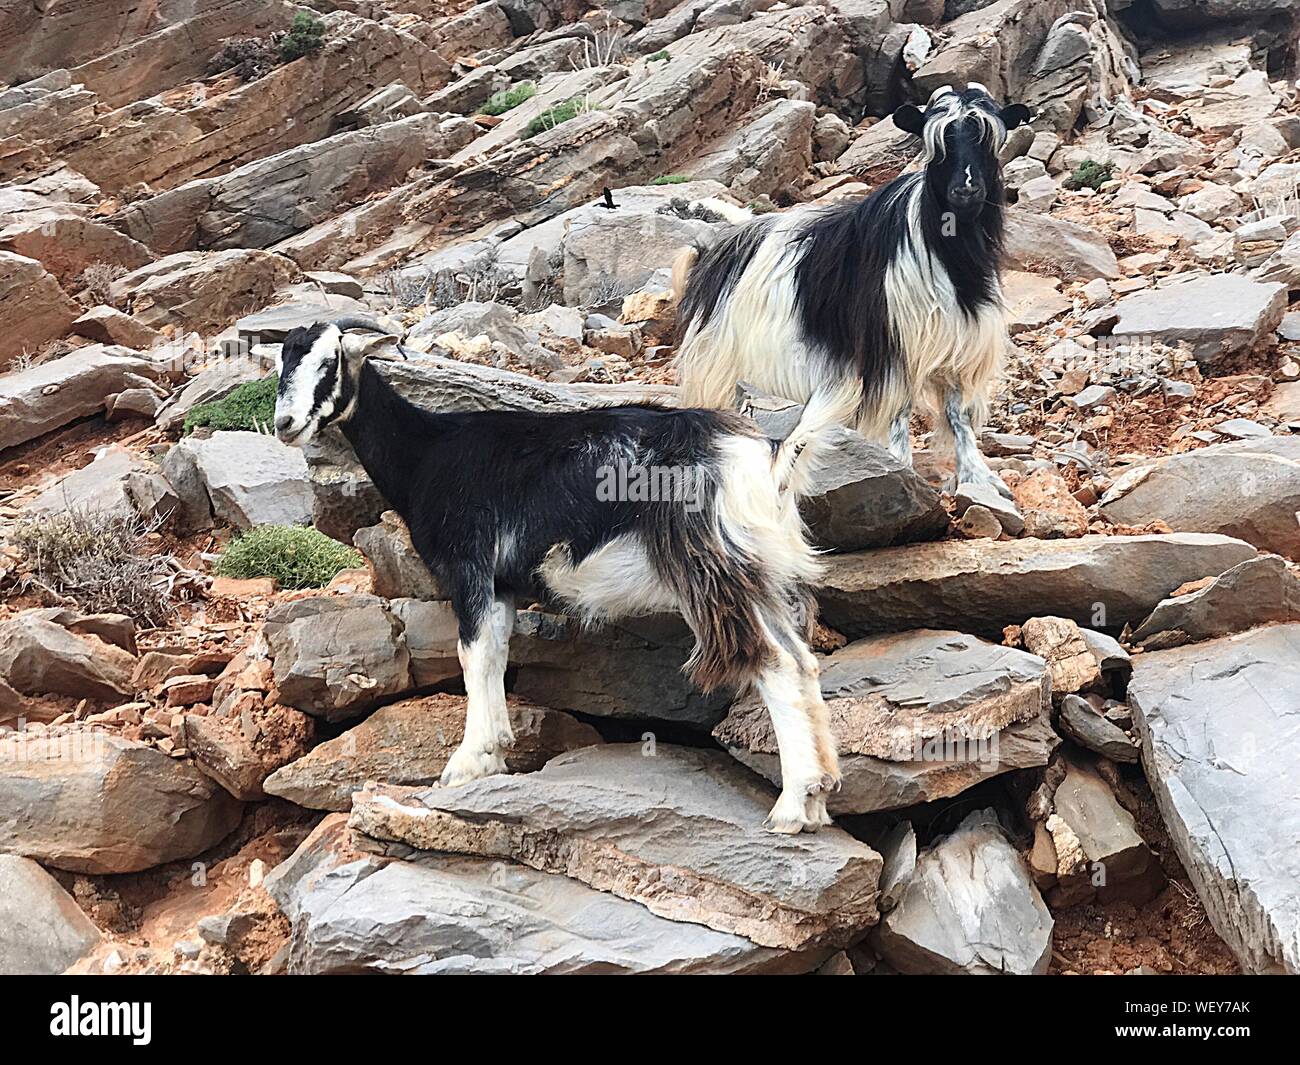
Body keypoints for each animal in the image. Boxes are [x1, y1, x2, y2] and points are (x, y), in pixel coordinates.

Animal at [273, 319, 846, 833]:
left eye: (330, 363)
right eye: (282, 363)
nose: (285, 424)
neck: (426, 453)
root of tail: (766, 458)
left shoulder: (468, 567)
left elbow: (471, 657)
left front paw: (463, 764)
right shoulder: (501, 585)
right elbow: (495, 655)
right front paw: (495, 753)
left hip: (709, 569)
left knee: (771, 663)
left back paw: (791, 809)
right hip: (757, 573)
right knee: (800, 663)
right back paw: (818, 798)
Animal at [675, 84, 1032, 499]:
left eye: (989, 139)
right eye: (936, 144)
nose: (966, 188)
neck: (948, 255)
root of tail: (713, 251)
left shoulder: (957, 341)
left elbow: (956, 413)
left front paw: (978, 476)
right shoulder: (892, 345)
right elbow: (899, 410)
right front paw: (900, 465)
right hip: (721, 366)